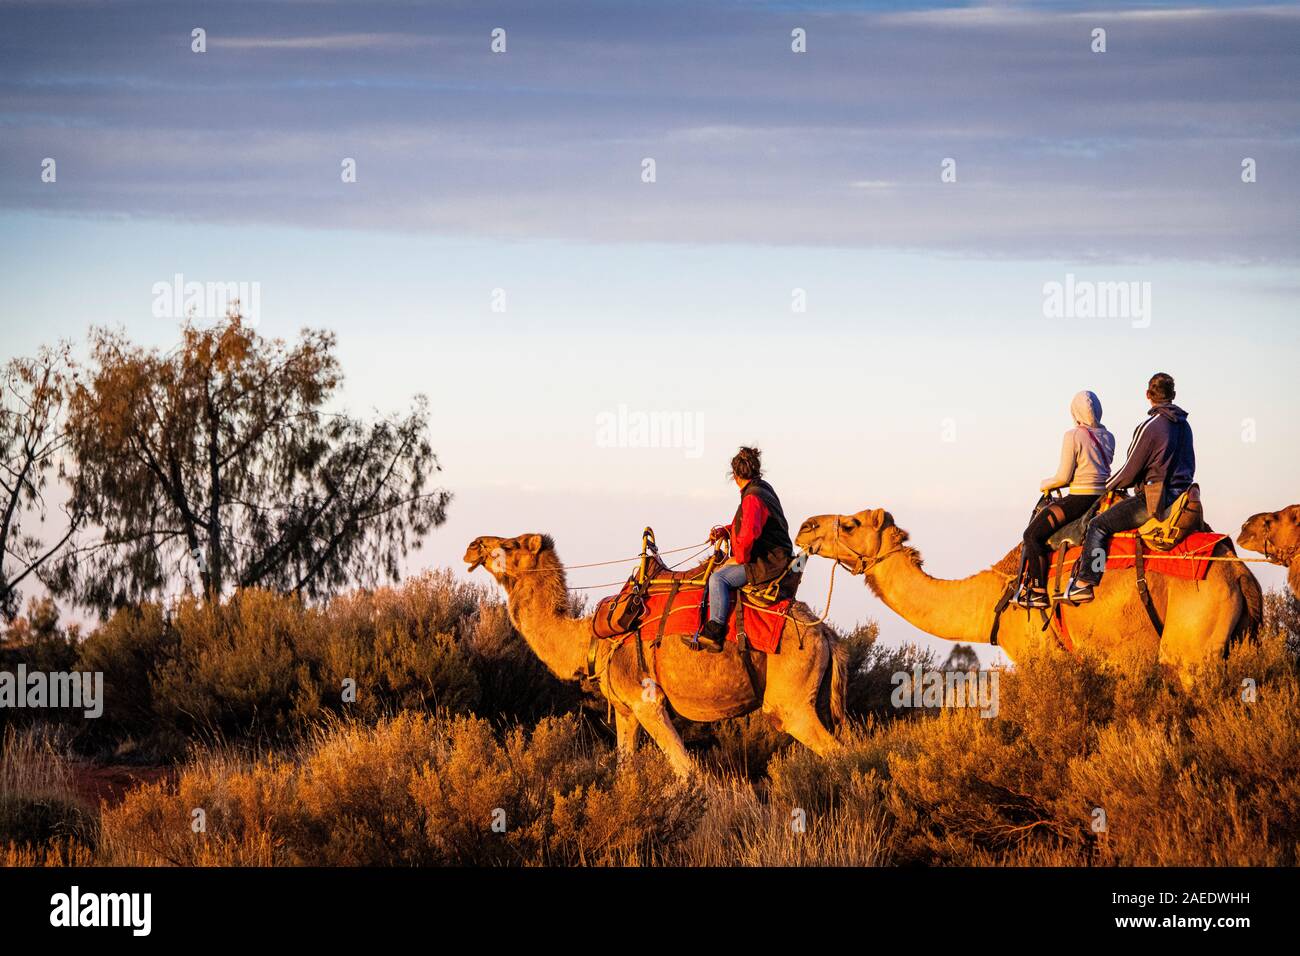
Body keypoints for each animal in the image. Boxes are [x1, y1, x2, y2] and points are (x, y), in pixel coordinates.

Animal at [464, 533, 846, 778]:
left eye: (510, 544)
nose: (473, 546)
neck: (593, 637)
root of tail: (824, 633)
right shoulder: (624, 709)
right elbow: (624, 769)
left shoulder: (647, 700)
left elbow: (687, 771)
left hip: (791, 699)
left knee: (835, 751)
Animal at [796, 508, 1262, 689]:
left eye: (851, 524)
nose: (805, 527)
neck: (993, 600)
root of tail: (1239, 573)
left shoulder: (1043, 657)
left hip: (1192, 648)